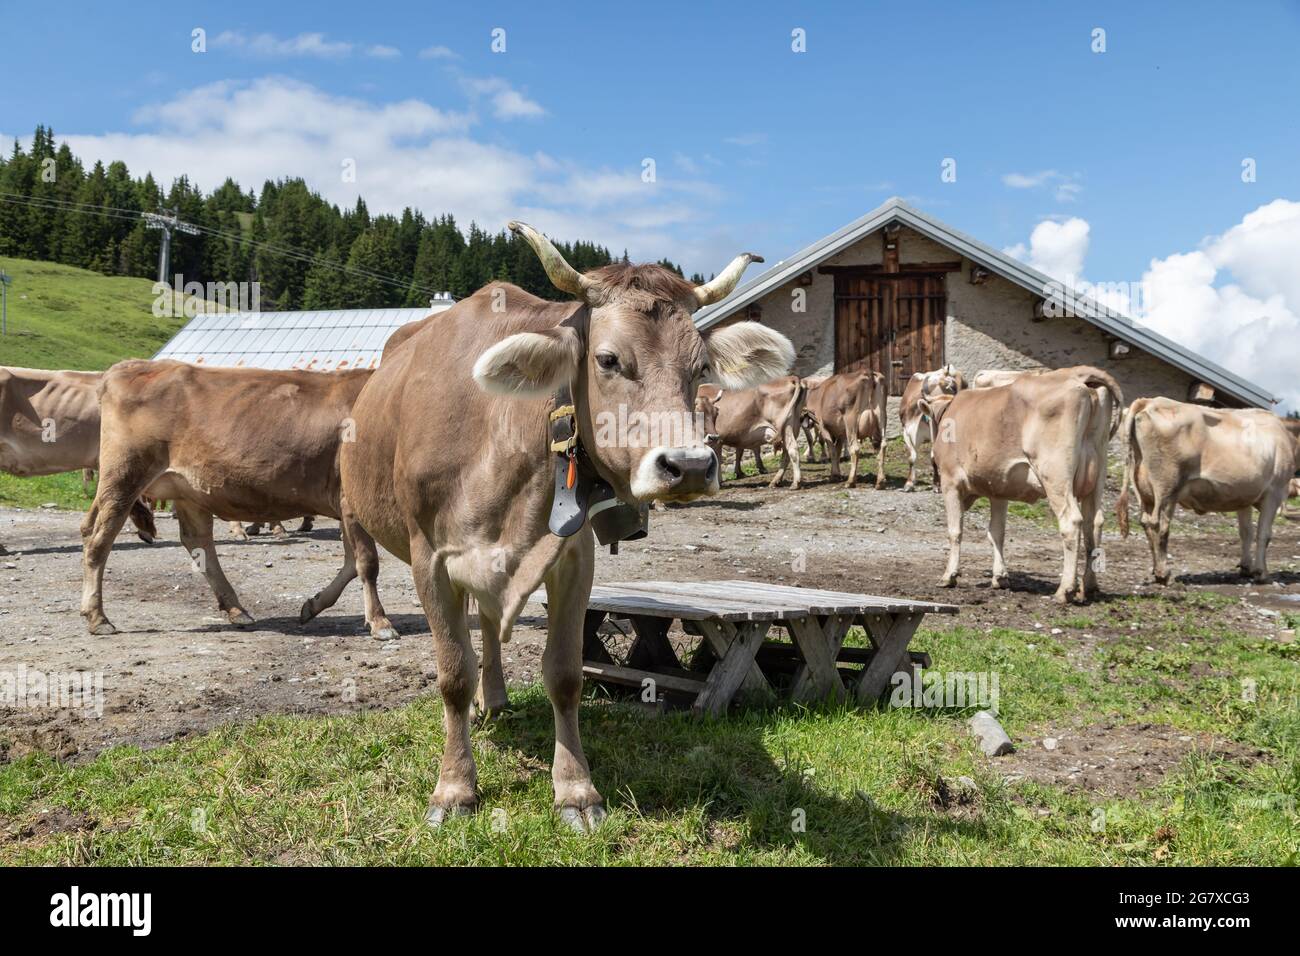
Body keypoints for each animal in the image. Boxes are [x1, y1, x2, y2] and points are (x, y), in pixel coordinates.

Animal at [78, 362, 395, 639]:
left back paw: (236, 608)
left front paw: (313, 605)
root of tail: (127, 366)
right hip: (123, 477)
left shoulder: (343, 506)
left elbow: (352, 563)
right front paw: (380, 622)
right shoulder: (351, 503)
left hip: (187, 491)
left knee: (198, 542)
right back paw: (98, 617)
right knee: (98, 543)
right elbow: (367, 562)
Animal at [339, 221, 791, 830]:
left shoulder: (573, 558)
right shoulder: (428, 557)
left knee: (489, 620)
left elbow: (564, 673)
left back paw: (495, 699)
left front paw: (575, 791)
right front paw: (454, 788)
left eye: (700, 368)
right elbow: (452, 674)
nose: (692, 466)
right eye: (607, 359)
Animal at [923, 366, 1123, 603]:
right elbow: (996, 533)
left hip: (1055, 474)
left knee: (1072, 522)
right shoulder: (997, 489)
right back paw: (1088, 586)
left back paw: (1065, 590)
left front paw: (949, 576)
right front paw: (1000, 577)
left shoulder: (951, 482)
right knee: (1094, 523)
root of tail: (1078, 374)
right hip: (1097, 472)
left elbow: (955, 531)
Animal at [1116, 398, 1297, 584]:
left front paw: (1246, 567)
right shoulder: (1274, 492)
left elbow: (1246, 532)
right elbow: (1264, 534)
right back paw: (1163, 573)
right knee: (1159, 525)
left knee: (1145, 522)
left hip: (1143, 489)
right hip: (1167, 488)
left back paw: (1155, 569)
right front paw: (1262, 573)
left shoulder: (1244, 496)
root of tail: (1149, 401)